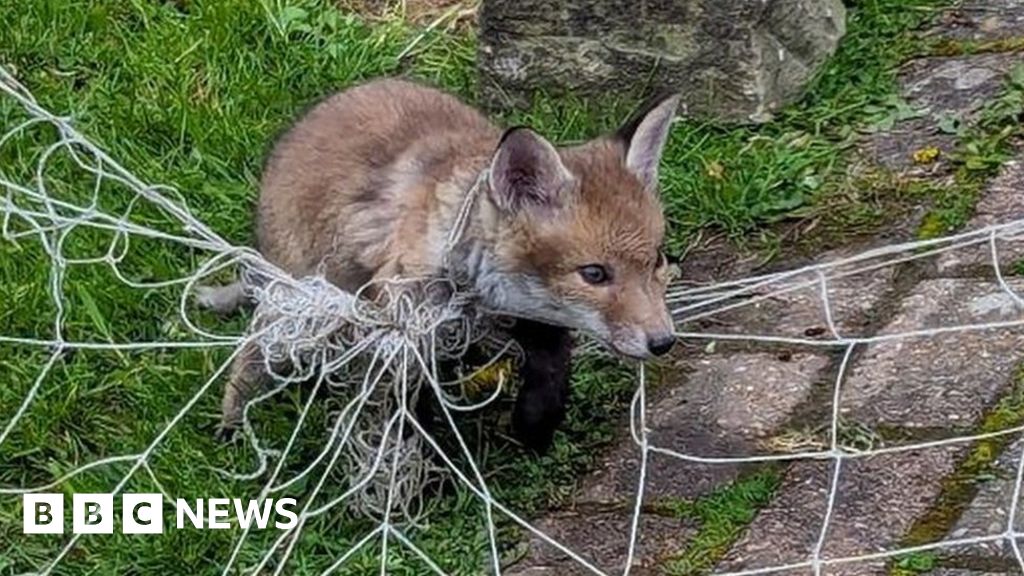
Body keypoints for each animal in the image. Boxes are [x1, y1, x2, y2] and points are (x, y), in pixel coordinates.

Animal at [199, 78, 680, 452]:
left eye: (657, 259)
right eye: (594, 274)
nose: (663, 342)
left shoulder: (531, 319)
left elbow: (551, 376)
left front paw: (532, 432)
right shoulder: (402, 329)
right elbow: (410, 408)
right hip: (297, 301)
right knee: (252, 356)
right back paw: (232, 426)